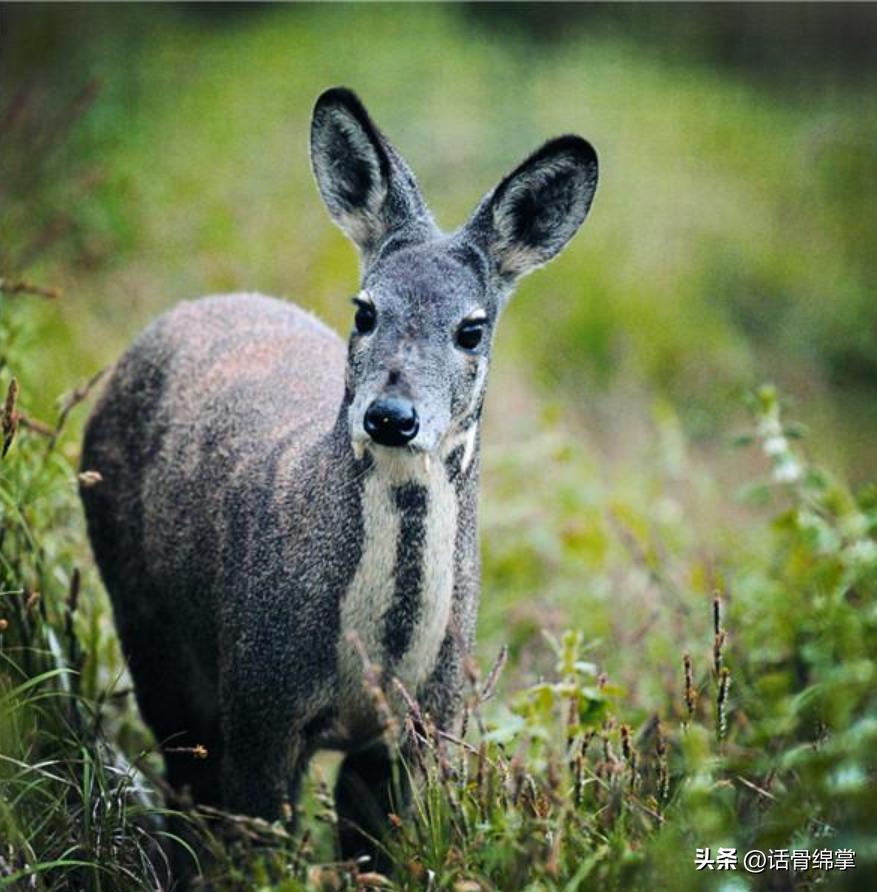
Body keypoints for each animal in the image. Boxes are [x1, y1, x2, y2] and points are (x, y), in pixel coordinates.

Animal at [80, 86, 598, 869]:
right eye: (365, 309)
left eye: (471, 329)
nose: (390, 416)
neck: (376, 660)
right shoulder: (260, 700)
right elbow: (257, 845)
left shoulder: (424, 727)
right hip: (144, 616)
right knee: (182, 771)